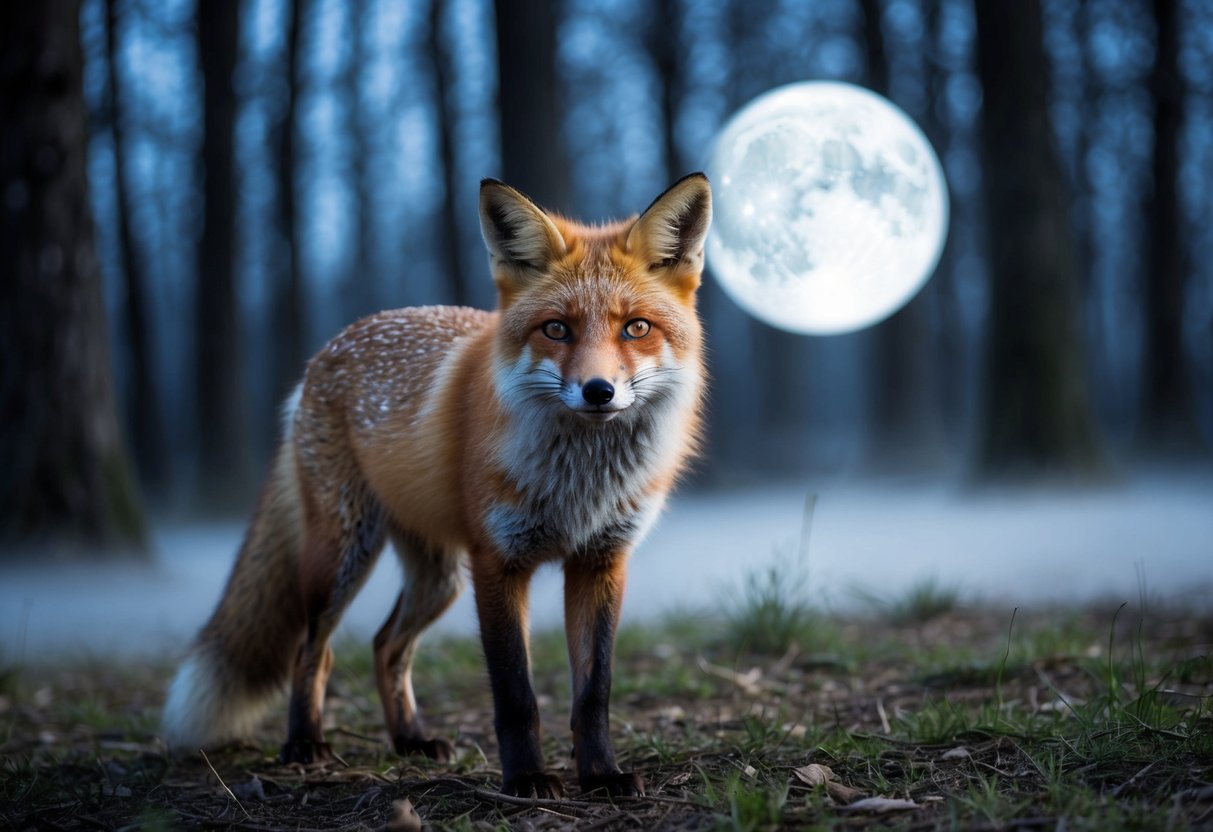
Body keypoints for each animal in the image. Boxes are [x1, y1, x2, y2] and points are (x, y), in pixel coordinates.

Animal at [161, 173, 712, 798]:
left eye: (636, 327)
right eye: (556, 329)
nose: (599, 391)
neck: (579, 485)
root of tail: (327, 350)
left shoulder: (601, 562)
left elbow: (594, 693)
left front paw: (601, 775)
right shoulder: (497, 562)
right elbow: (515, 694)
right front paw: (526, 778)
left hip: (438, 577)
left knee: (385, 646)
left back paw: (411, 740)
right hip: (342, 558)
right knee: (314, 651)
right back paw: (304, 742)